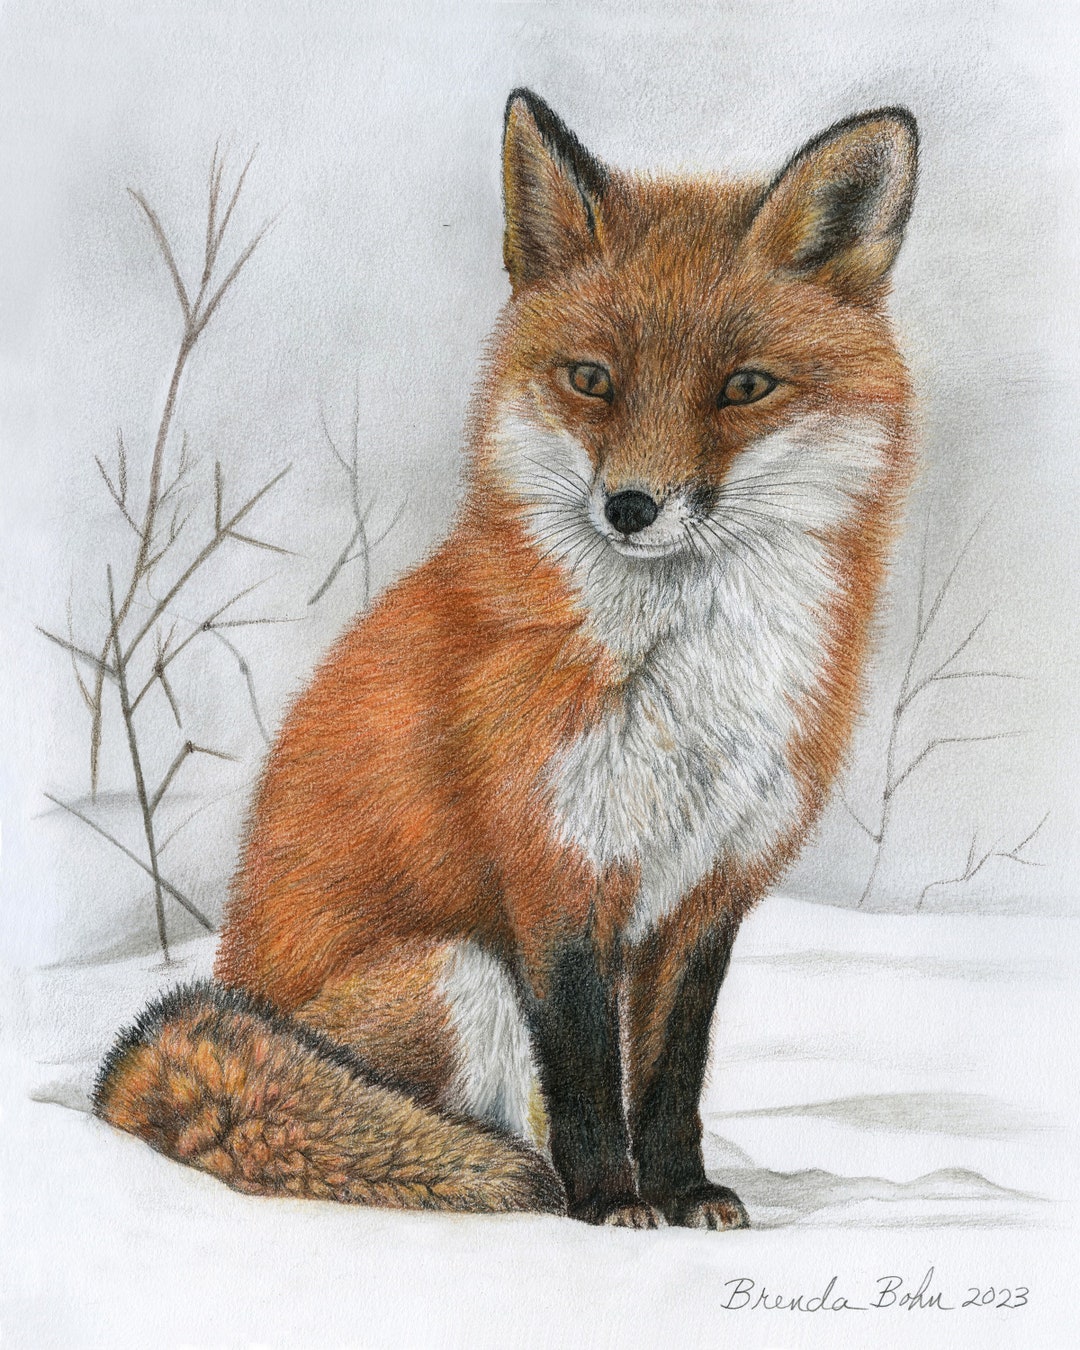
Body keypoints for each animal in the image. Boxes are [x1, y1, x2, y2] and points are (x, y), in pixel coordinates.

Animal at [94, 90, 918, 1229]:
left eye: (745, 387)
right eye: (591, 380)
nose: (630, 506)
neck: (690, 682)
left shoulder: (709, 890)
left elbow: (670, 1076)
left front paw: (684, 1193)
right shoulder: (551, 872)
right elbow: (587, 1076)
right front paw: (613, 1205)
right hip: (459, 969)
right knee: (445, 1120)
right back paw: (507, 1176)